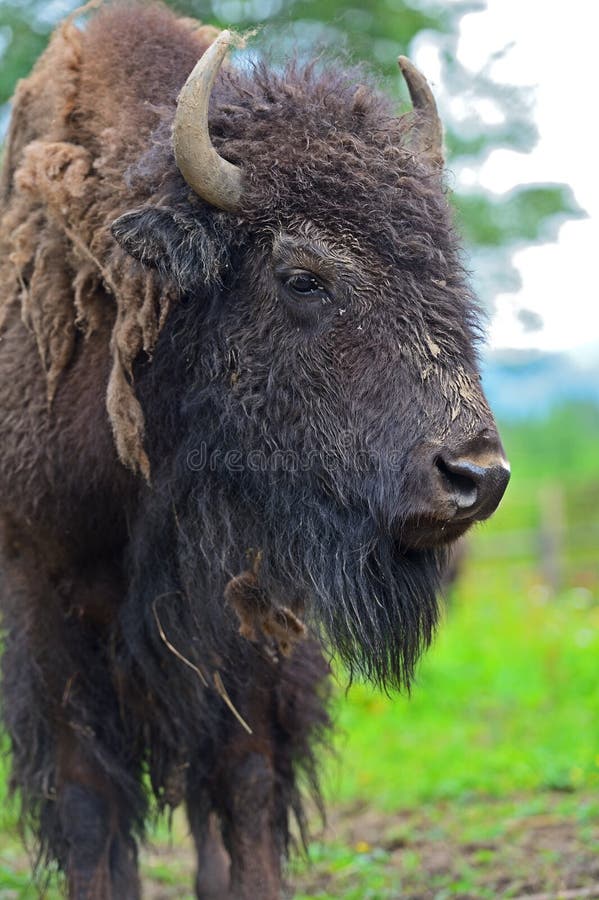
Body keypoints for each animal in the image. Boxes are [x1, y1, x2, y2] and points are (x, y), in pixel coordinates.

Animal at [0, 2, 510, 898]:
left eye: (444, 267)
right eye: (302, 277)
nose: (474, 476)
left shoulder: (256, 616)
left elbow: (246, 778)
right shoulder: (43, 596)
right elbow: (90, 804)